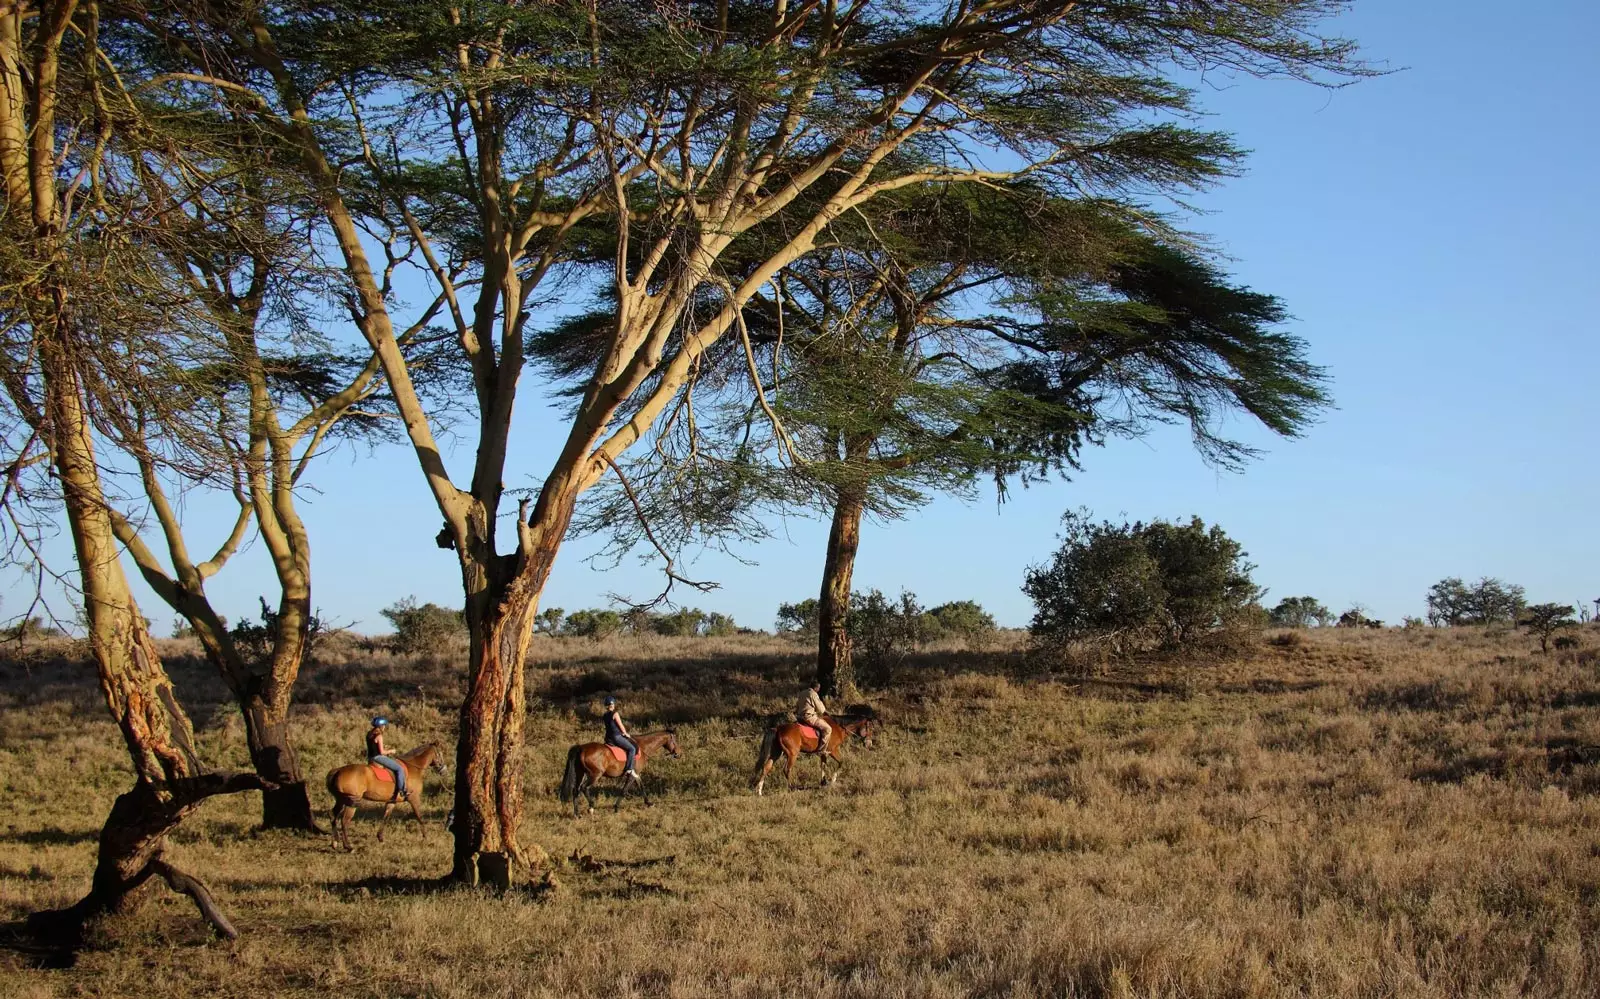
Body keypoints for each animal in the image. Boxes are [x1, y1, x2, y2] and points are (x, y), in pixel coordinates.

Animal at [748, 710, 876, 797]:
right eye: (870, 728)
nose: (869, 744)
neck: (839, 726)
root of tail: (778, 729)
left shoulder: (824, 753)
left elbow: (823, 765)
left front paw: (823, 782)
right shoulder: (833, 750)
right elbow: (841, 762)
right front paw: (832, 780)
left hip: (776, 753)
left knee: (766, 767)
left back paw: (759, 791)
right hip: (792, 754)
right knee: (786, 769)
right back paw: (792, 787)